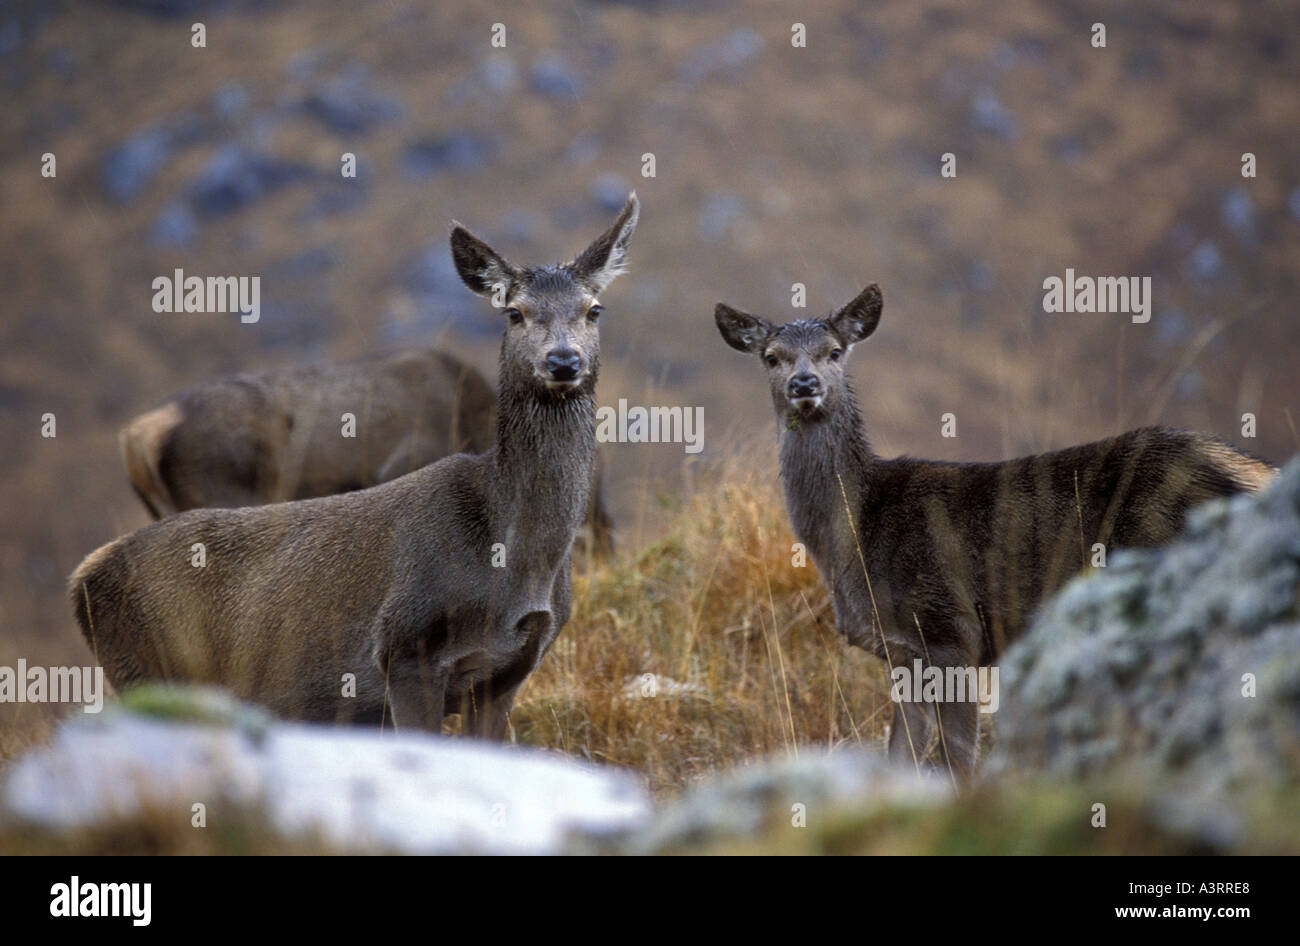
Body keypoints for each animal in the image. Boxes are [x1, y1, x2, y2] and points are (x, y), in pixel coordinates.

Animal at [716, 282, 1277, 782]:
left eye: (834, 351)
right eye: (772, 357)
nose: (805, 385)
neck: (853, 536)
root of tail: (1259, 473)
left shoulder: (949, 627)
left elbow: (960, 761)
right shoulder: (900, 650)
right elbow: (900, 755)